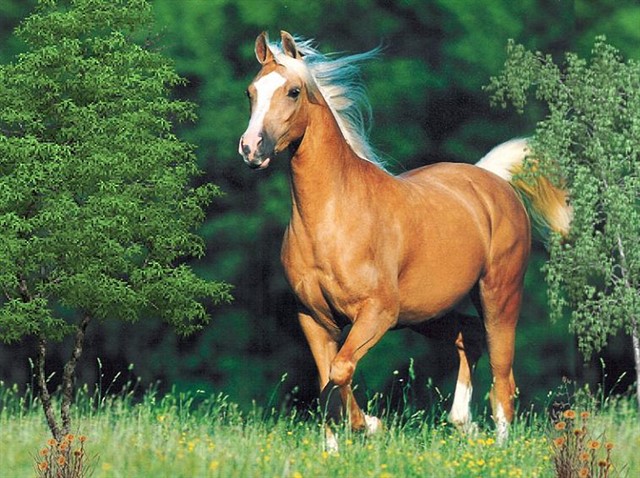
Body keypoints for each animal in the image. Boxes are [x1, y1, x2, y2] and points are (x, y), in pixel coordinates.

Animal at [238, 31, 571, 450]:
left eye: (293, 91)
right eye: (251, 91)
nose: (251, 148)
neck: (334, 216)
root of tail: (492, 179)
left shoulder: (378, 312)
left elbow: (341, 369)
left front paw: (370, 425)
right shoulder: (314, 317)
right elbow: (328, 379)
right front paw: (333, 449)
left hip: (499, 296)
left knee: (503, 377)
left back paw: (499, 445)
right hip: (427, 312)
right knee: (469, 336)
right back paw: (462, 422)